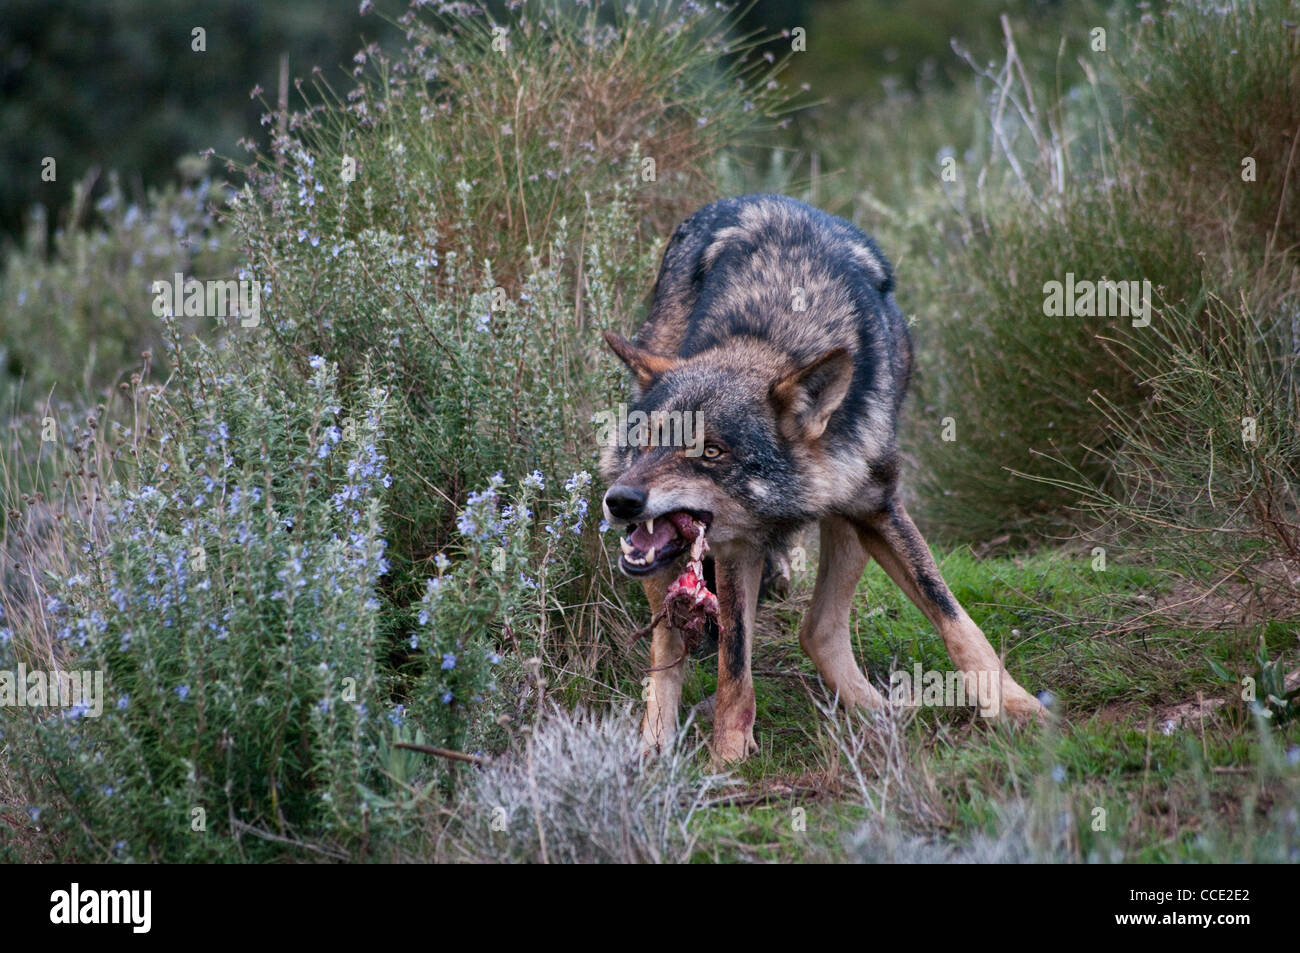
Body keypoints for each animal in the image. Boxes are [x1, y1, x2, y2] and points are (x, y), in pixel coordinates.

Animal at [600, 194, 1046, 763]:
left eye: (712, 452)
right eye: (648, 439)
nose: (621, 501)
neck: (779, 330)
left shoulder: (879, 506)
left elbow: (956, 621)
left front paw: (1018, 708)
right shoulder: (737, 546)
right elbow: (734, 666)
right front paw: (729, 756)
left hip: (848, 516)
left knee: (817, 629)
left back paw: (879, 716)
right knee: (669, 651)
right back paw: (653, 751)